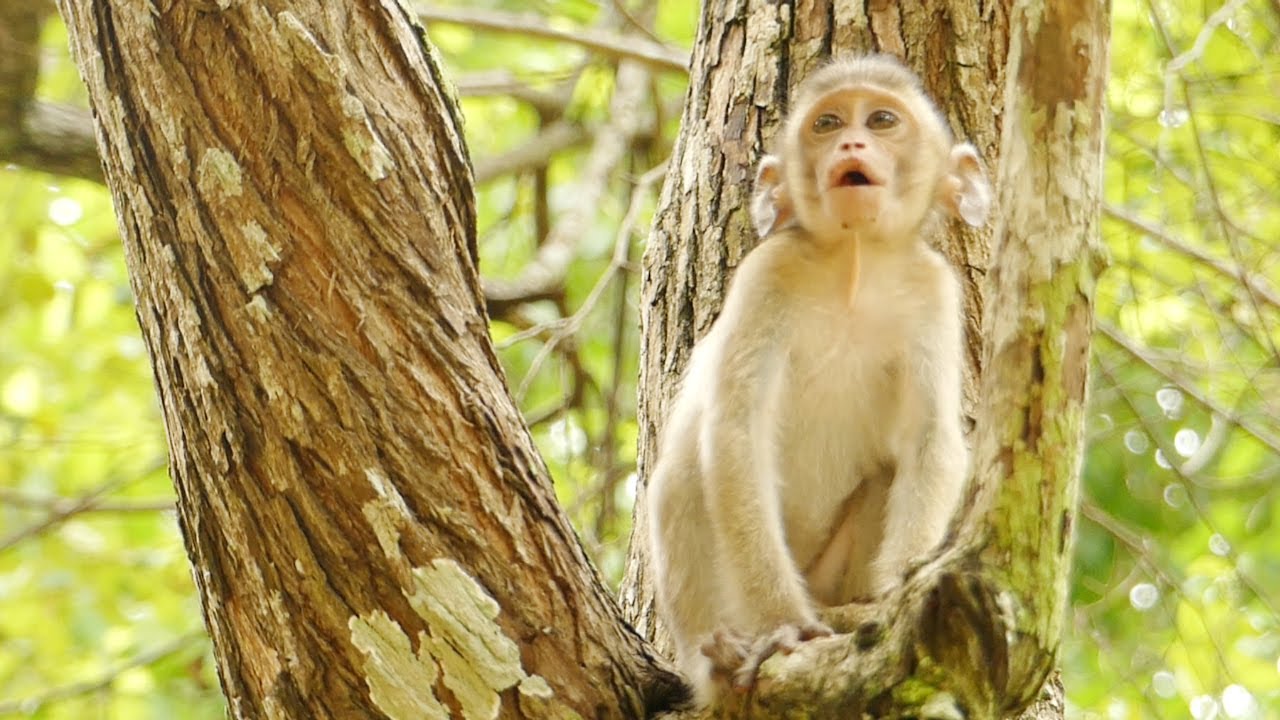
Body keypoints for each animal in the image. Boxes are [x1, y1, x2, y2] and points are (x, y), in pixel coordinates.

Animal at [645, 54, 991, 704]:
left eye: (881, 120)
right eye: (827, 124)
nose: (851, 143)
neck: (854, 265)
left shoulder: (933, 289)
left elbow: (929, 440)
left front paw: (897, 604)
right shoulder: (768, 274)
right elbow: (736, 434)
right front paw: (782, 628)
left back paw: (848, 614)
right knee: (683, 475)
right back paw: (720, 666)